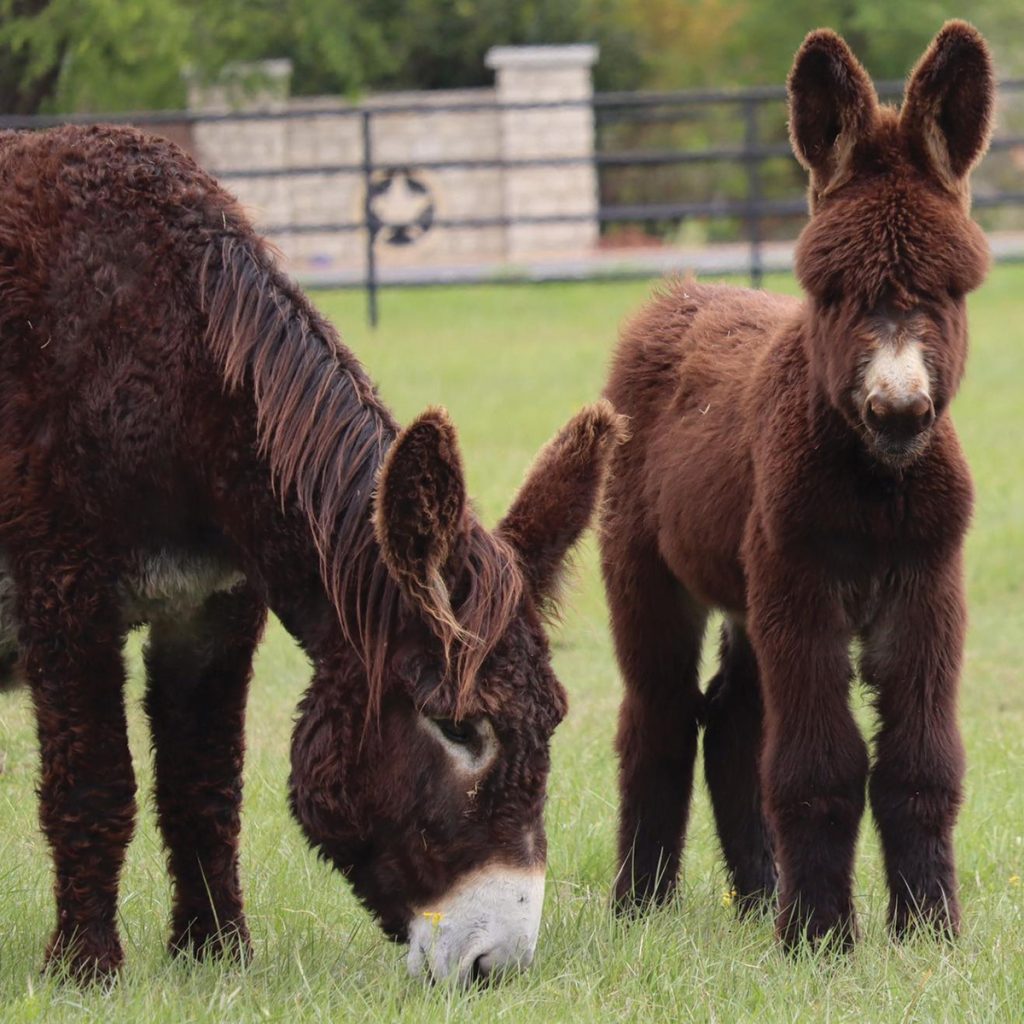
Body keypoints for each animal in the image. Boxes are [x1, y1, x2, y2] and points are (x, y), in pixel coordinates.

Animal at [0, 123, 624, 983]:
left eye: (555, 722)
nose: (496, 967)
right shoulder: (66, 595)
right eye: (457, 727)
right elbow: (95, 785)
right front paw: (85, 968)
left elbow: (202, 786)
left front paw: (215, 953)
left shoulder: (212, 608)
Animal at [599, 21, 993, 949]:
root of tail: (678, 294)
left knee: (732, 723)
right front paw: (819, 939)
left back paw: (755, 895)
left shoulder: (925, 591)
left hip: (749, 596)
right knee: (659, 717)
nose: (897, 412)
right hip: (652, 574)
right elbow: (820, 765)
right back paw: (642, 902)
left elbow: (920, 763)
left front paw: (928, 929)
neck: (877, 492)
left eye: (948, 291)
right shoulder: (803, 589)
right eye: (833, 290)